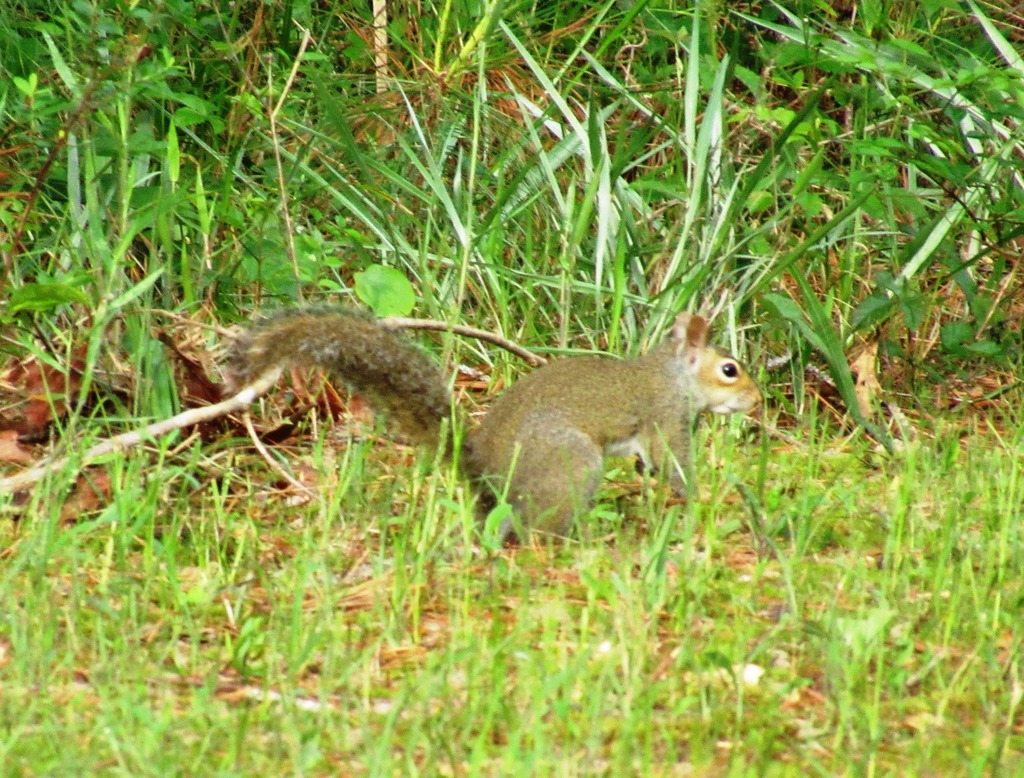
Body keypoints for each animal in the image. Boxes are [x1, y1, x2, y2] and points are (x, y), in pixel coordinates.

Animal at [226, 307, 761, 542]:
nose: (757, 399)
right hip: (571, 461)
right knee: (540, 529)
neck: (672, 376)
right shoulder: (664, 419)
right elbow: (676, 467)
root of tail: (485, 475)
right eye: (729, 369)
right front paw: (705, 500)